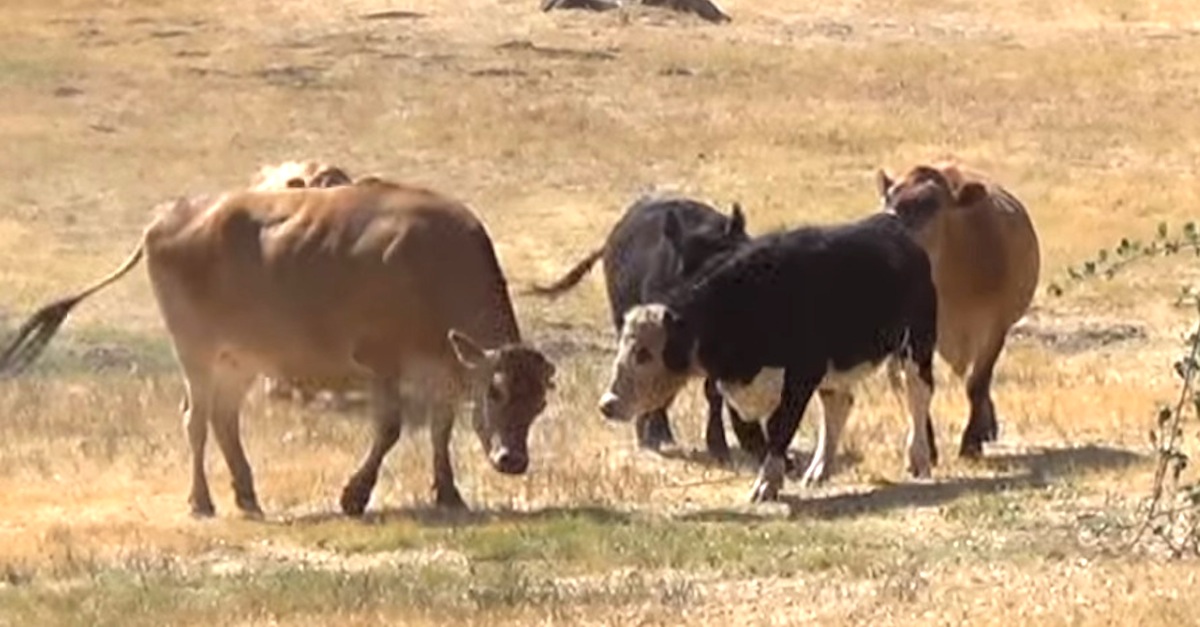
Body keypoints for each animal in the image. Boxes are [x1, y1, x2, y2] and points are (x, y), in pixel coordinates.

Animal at [0, 177, 557, 518]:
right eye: (496, 391)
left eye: (539, 403)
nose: (512, 459)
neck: (432, 264)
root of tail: (166, 221)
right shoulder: (381, 363)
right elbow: (390, 428)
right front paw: (353, 496)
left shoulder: (441, 368)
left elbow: (441, 430)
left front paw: (449, 494)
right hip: (196, 353)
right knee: (196, 419)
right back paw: (201, 502)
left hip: (238, 360)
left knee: (224, 418)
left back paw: (247, 496)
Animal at [596, 212, 940, 502]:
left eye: (644, 353)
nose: (607, 404)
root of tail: (891, 223)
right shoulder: (733, 386)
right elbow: (750, 434)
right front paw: (776, 474)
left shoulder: (800, 377)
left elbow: (779, 427)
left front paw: (767, 483)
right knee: (838, 404)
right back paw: (819, 469)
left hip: (916, 344)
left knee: (917, 394)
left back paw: (918, 458)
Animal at [876, 160, 1040, 458]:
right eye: (888, 199)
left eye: (930, 203)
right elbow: (918, 385)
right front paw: (927, 446)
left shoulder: (994, 328)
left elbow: (977, 383)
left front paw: (972, 441)